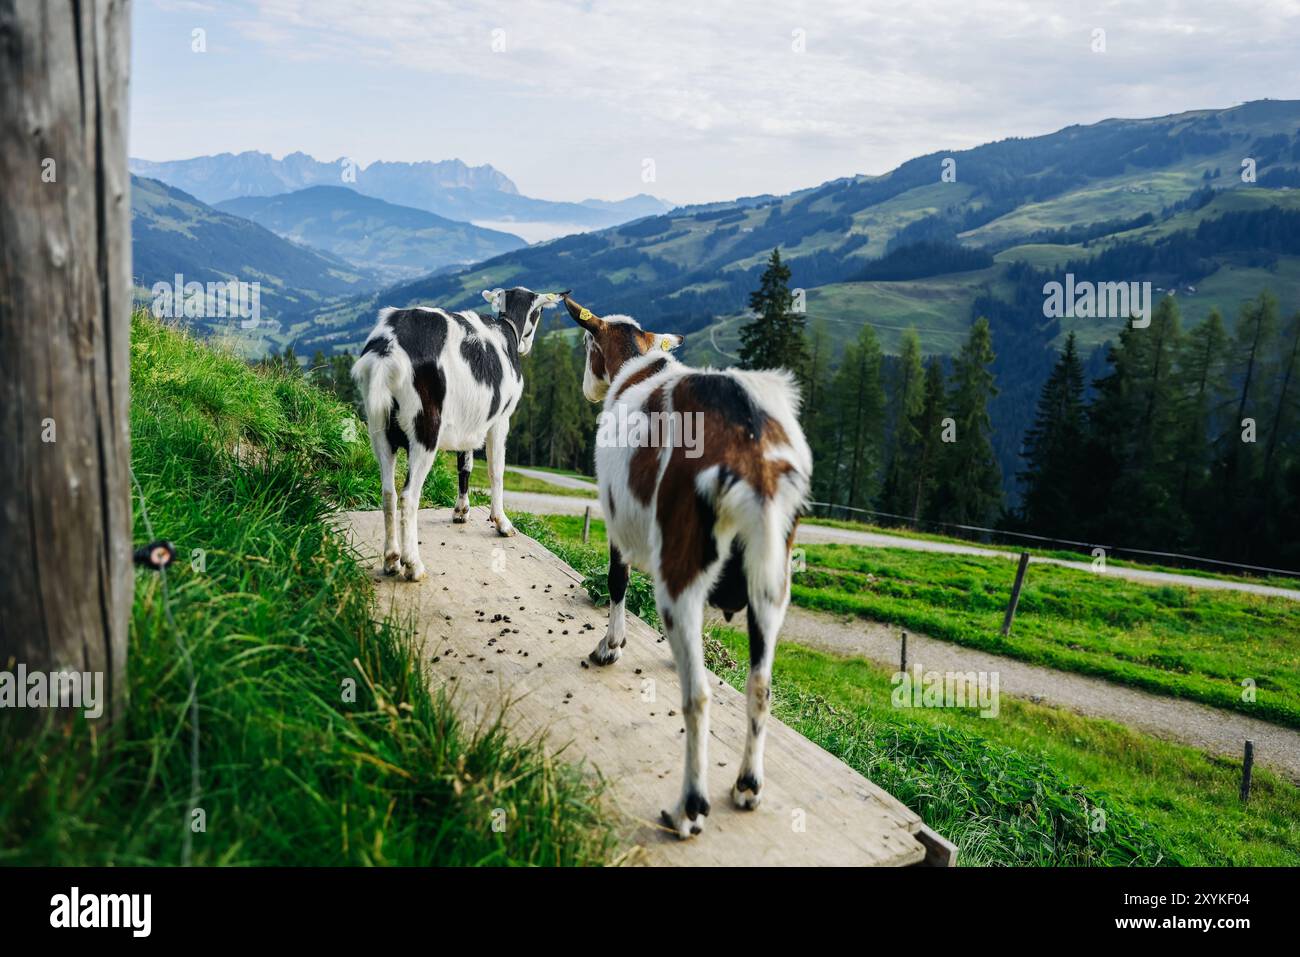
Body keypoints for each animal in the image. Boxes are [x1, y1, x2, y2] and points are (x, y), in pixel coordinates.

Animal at [351, 287, 565, 581]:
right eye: (539, 311)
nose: (527, 346)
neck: (505, 331)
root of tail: (388, 348)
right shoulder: (500, 420)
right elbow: (496, 471)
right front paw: (502, 523)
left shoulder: (469, 422)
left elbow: (465, 465)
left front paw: (461, 511)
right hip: (425, 431)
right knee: (408, 496)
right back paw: (413, 565)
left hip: (380, 430)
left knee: (388, 492)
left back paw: (392, 560)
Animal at [563, 295, 812, 839]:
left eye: (588, 343)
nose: (587, 387)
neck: (639, 367)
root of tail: (750, 454)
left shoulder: (619, 520)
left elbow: (617, 581)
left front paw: (609, 647)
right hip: (771, 580)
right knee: (761, 686)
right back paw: (747, 786)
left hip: (682, 564)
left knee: (697, 696)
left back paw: (689, 808)